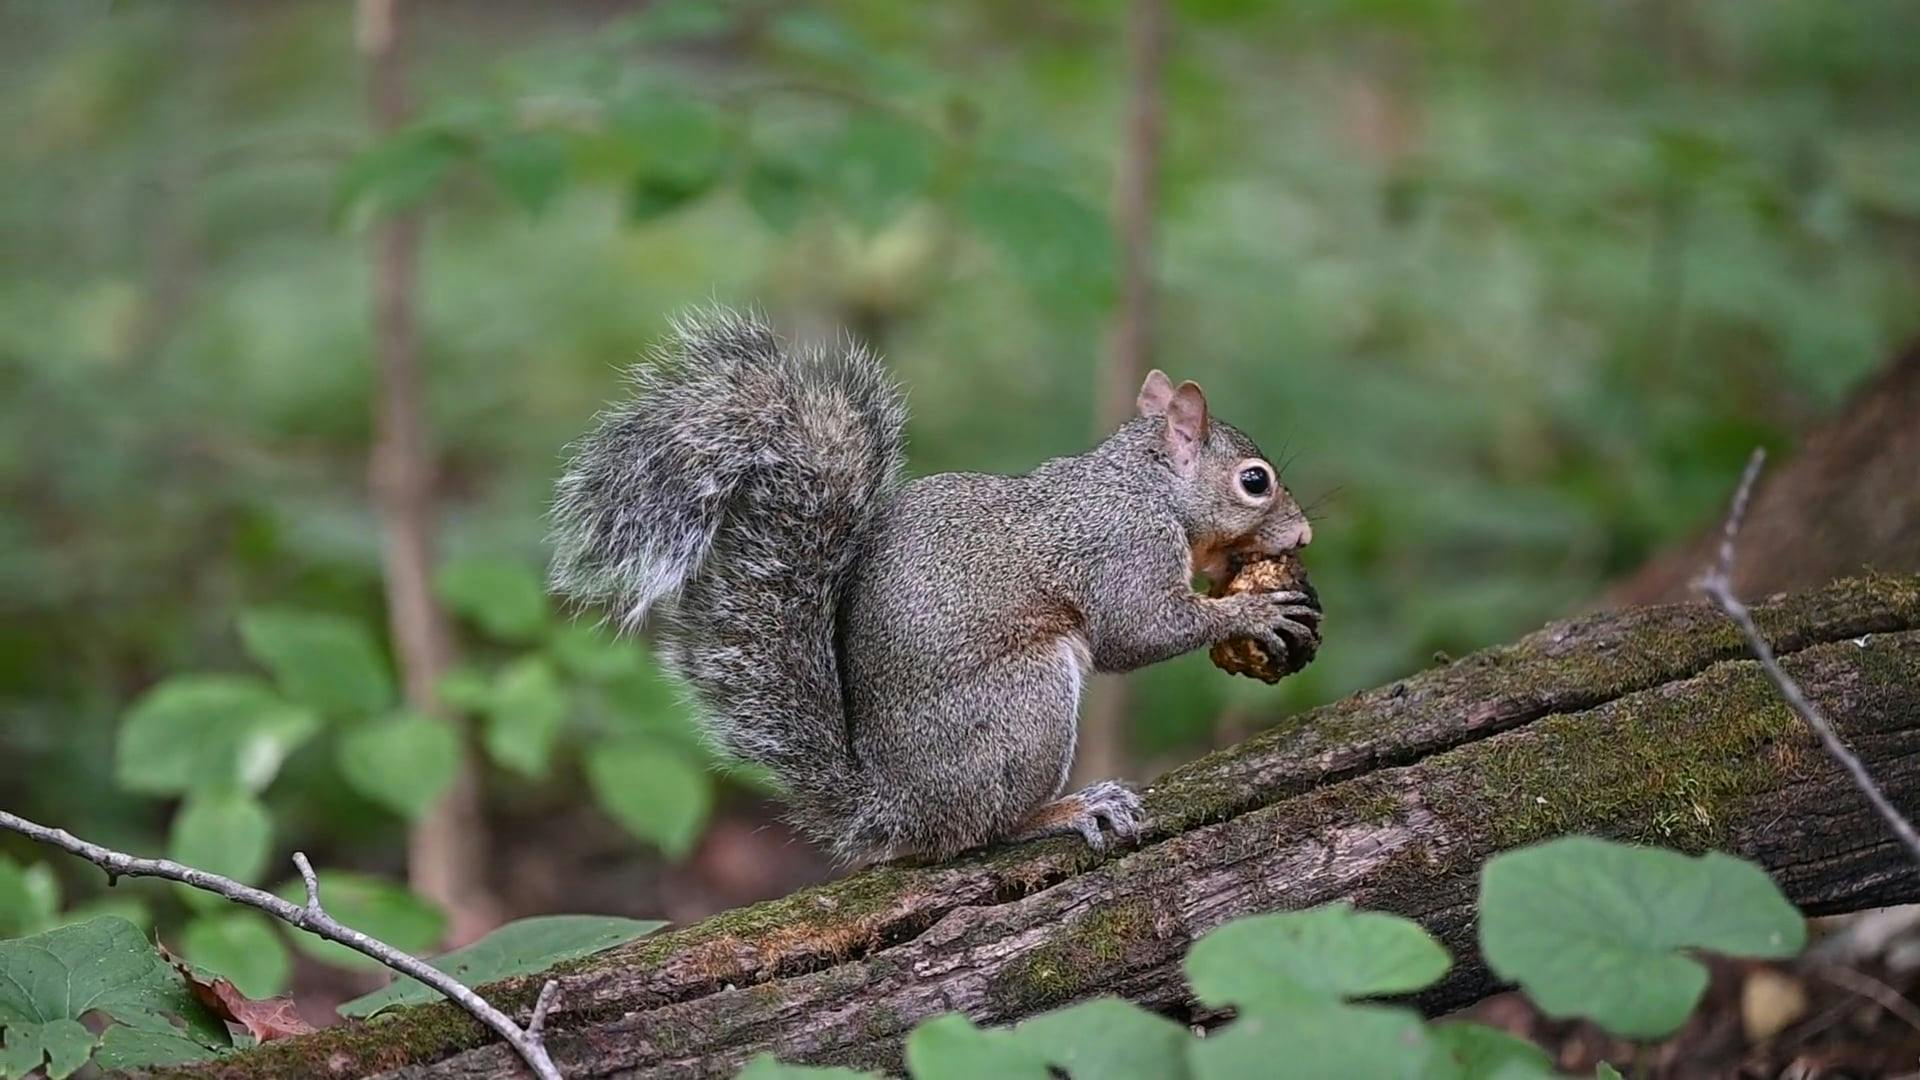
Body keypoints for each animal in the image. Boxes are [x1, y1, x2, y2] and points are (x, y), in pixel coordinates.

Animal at [549, 308, 1317, 865]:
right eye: (1255, 481)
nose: (1305, 535)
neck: (1145, 484)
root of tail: (899, 808)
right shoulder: (1122, 547)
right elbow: (1139, 631)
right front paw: (1253, 610)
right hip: (1026, 703)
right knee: (989, 829)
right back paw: (1067, 809)